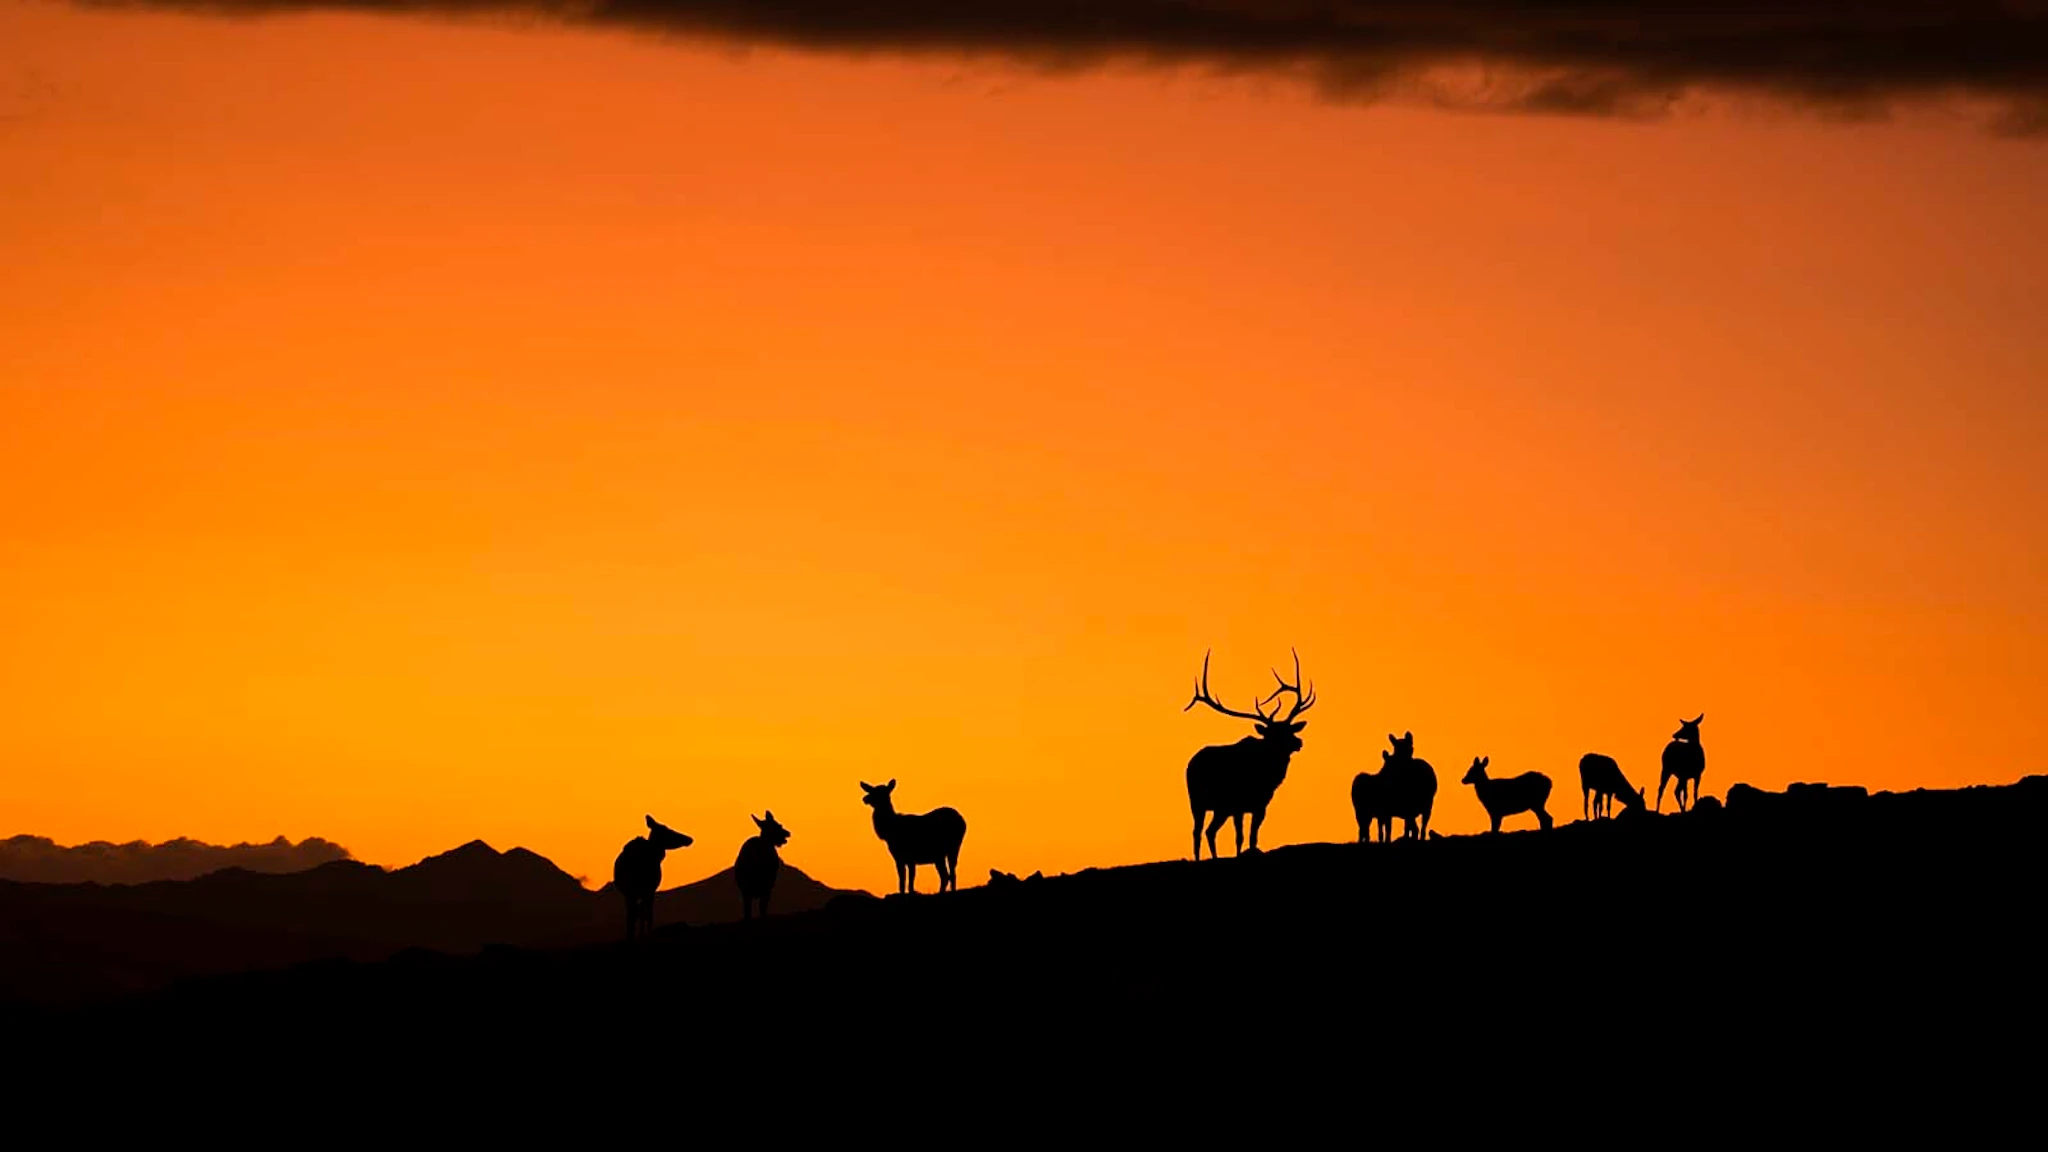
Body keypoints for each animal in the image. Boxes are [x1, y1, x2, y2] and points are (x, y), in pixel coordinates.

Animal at [1182, 648, 1317, 860]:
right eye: (1273, 735)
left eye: (1290, 730)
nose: (1299, 742)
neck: (1266, 779)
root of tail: (1190, 763)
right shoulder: (1238, 804)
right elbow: (1240, 837)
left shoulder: (1259, 806)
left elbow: (1253, 838)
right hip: (1197, 801)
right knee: (1198, 831)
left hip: (1220, 808)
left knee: (1210, 831)